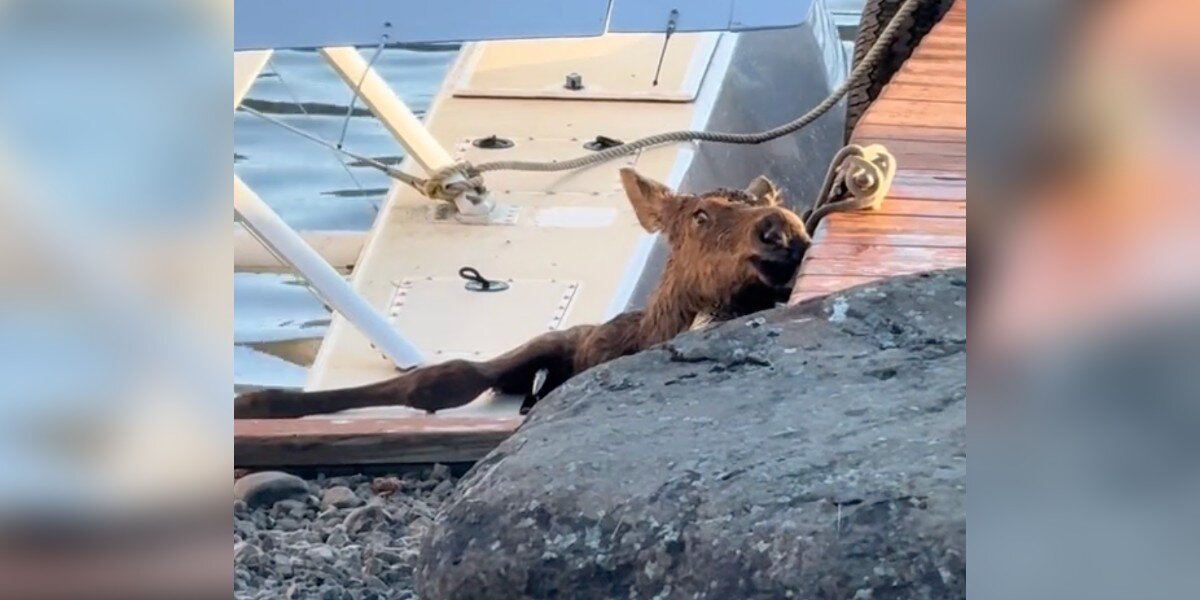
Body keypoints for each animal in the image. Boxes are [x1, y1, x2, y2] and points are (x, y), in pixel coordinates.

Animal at [234, 168, 811, 419]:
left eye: (773, 203)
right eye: (700, 215)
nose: (779, 228)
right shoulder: (567, 340)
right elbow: (445, 376)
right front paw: (260, 401)